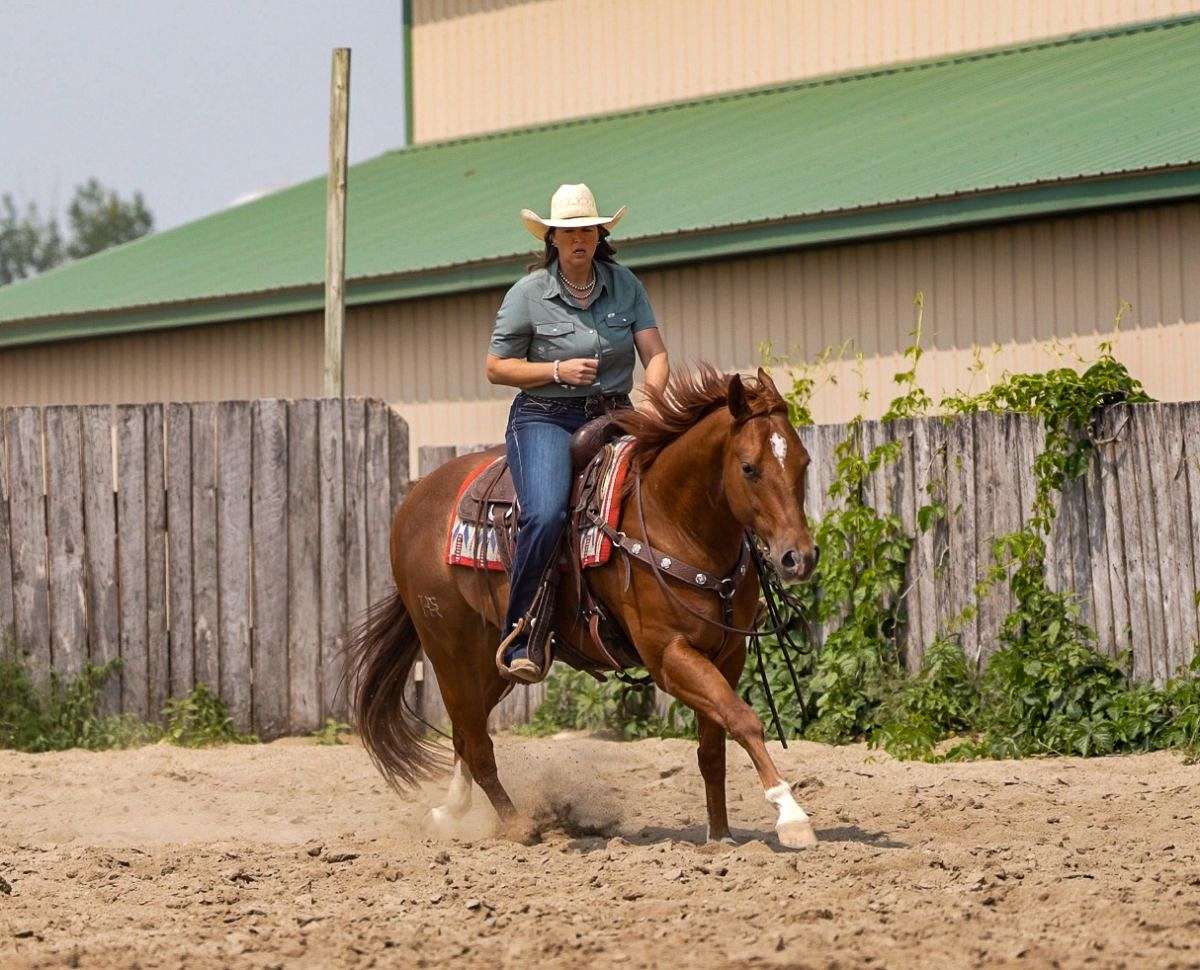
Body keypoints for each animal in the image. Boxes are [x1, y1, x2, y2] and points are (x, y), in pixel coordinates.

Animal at [350, 365, 821, 848]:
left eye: (803, 462)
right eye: (749, 468)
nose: (798, 557)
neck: (674, 521)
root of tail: (414, 500)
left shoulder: (727, 654)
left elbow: (714, 746)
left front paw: (721, 835)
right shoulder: (669, 657)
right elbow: (743, 719)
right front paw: (791, 817)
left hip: (494, 657)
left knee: (468, 729)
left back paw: (449, 812)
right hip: (448, 647)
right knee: (476, 742)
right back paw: (518, 825)